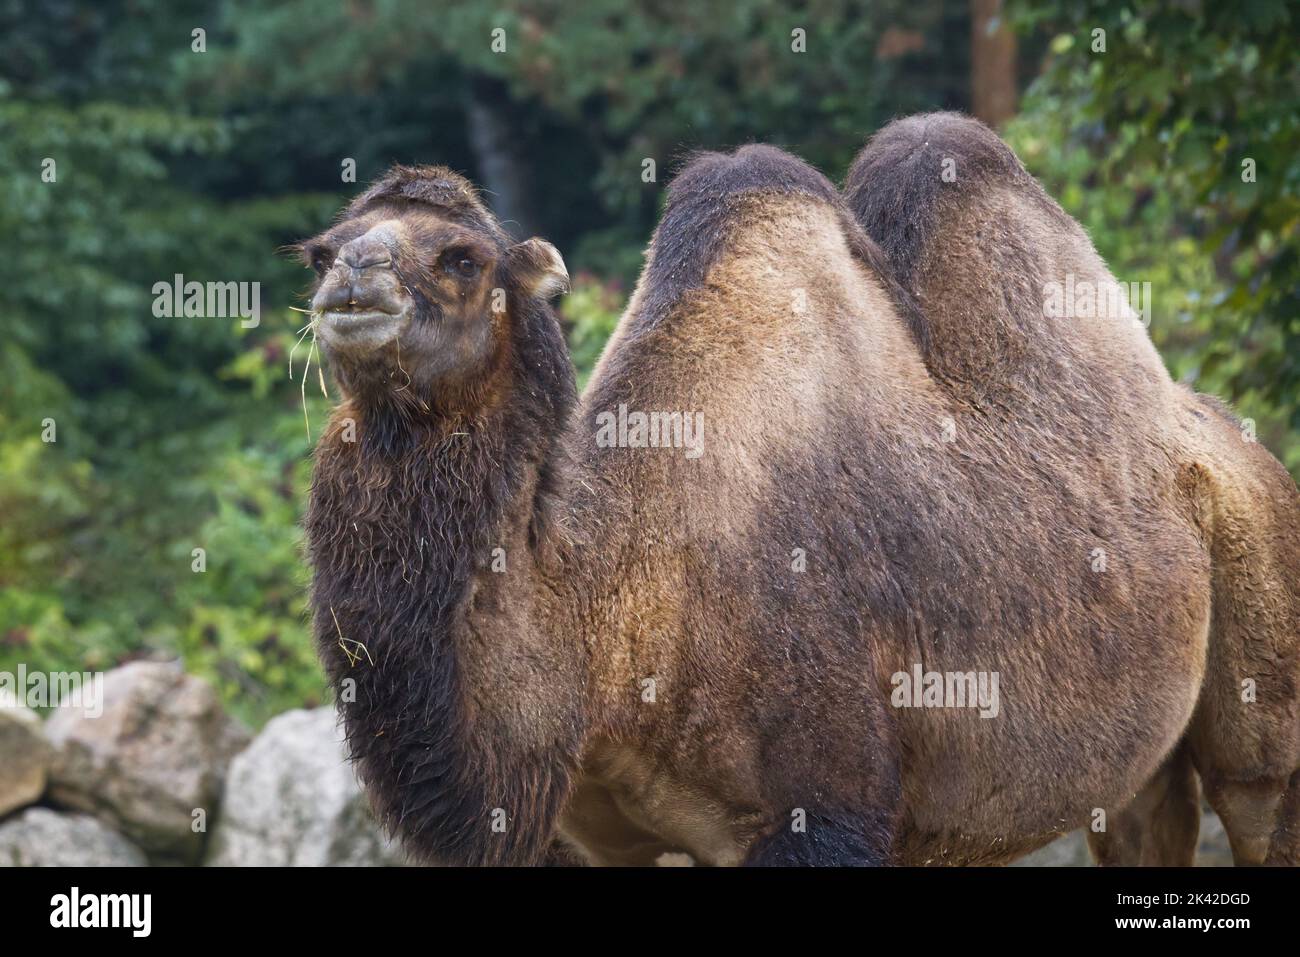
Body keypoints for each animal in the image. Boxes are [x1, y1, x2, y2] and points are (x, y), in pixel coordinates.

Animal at [301, 118, 1300, 866]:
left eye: (461, 257)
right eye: (320, 250)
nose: (351, 277)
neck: (617, 618)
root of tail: (1246, 451)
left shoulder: (826, 805)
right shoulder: (579, 837)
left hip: (1264, 663)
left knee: (1259, 793)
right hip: (1136, 760)